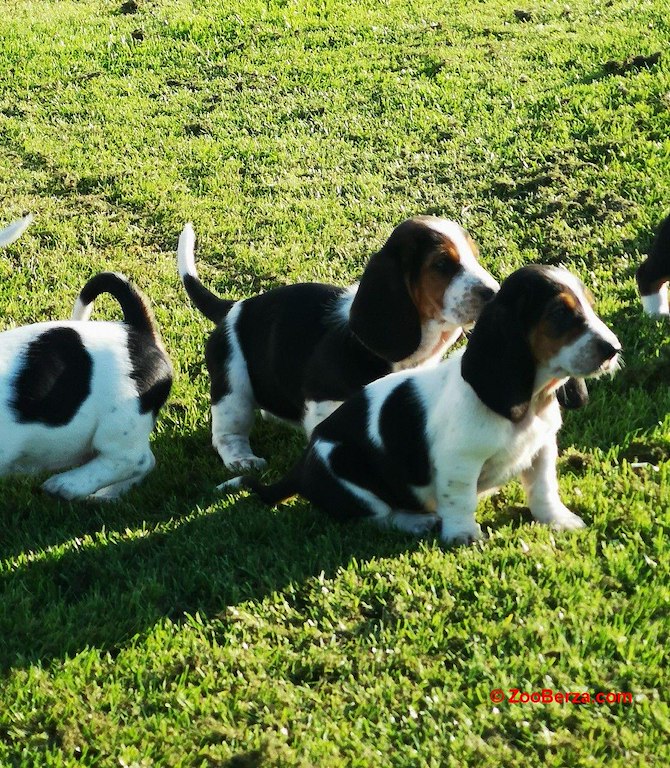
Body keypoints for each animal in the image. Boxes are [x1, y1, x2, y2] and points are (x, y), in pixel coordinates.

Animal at [178, 213, 504, 472]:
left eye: (474, 256)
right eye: (442, 264)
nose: (495, 292)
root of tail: (234, 308)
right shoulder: (324, 405)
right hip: (233, 386)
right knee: (227, 433)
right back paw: (242, 460)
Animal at [223, 264, 624, 544]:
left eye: (589, 307)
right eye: (559, 315)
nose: (613, 349)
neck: (531, 399)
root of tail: (302, 466)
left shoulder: (541, 450)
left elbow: (543, 490)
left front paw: (559, 520)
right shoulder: (459, 463)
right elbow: (460, 500)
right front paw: (462, 535)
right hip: (338, 462)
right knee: (378, 516)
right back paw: (417, 521)